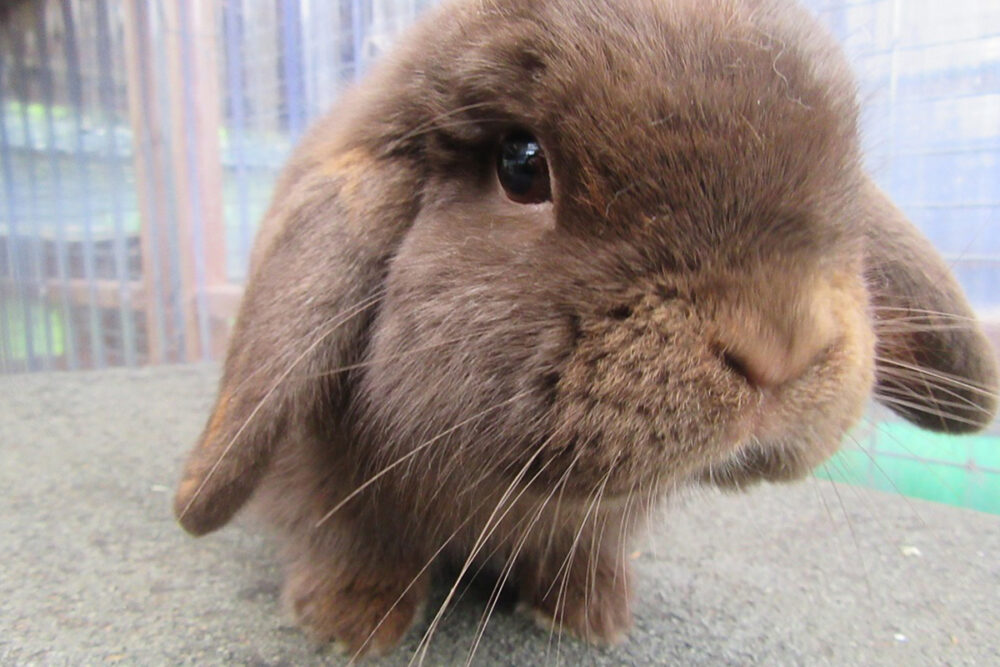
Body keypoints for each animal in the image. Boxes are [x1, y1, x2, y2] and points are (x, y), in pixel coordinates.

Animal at [172, 0, 999, 657]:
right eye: (520, 162)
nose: (782, 345)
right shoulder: (324, 477)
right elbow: (348, 535)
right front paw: (349, 620)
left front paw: (590, 612)